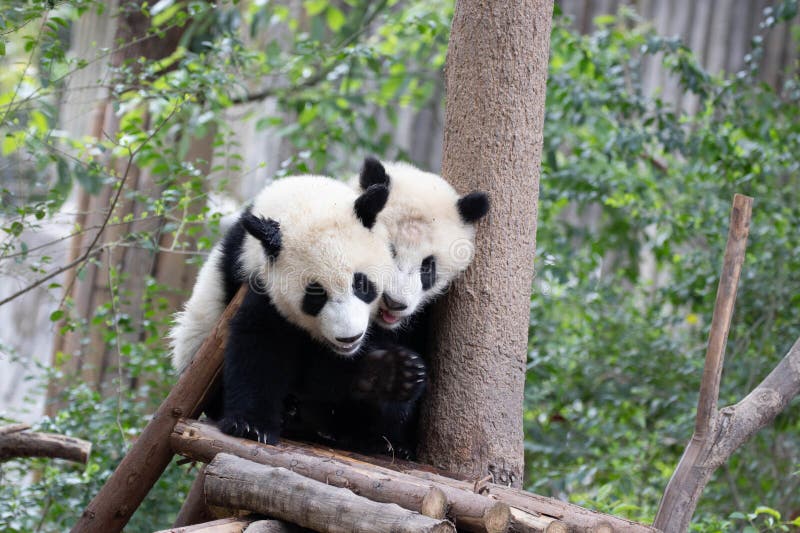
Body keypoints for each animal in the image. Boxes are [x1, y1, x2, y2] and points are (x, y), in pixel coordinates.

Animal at [170, 175, 398, 444]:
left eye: (361, 284)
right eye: (315, 296)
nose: (349, 338)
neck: (301, 201)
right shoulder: (259, 283)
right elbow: (261, 344)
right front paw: (252, 427)